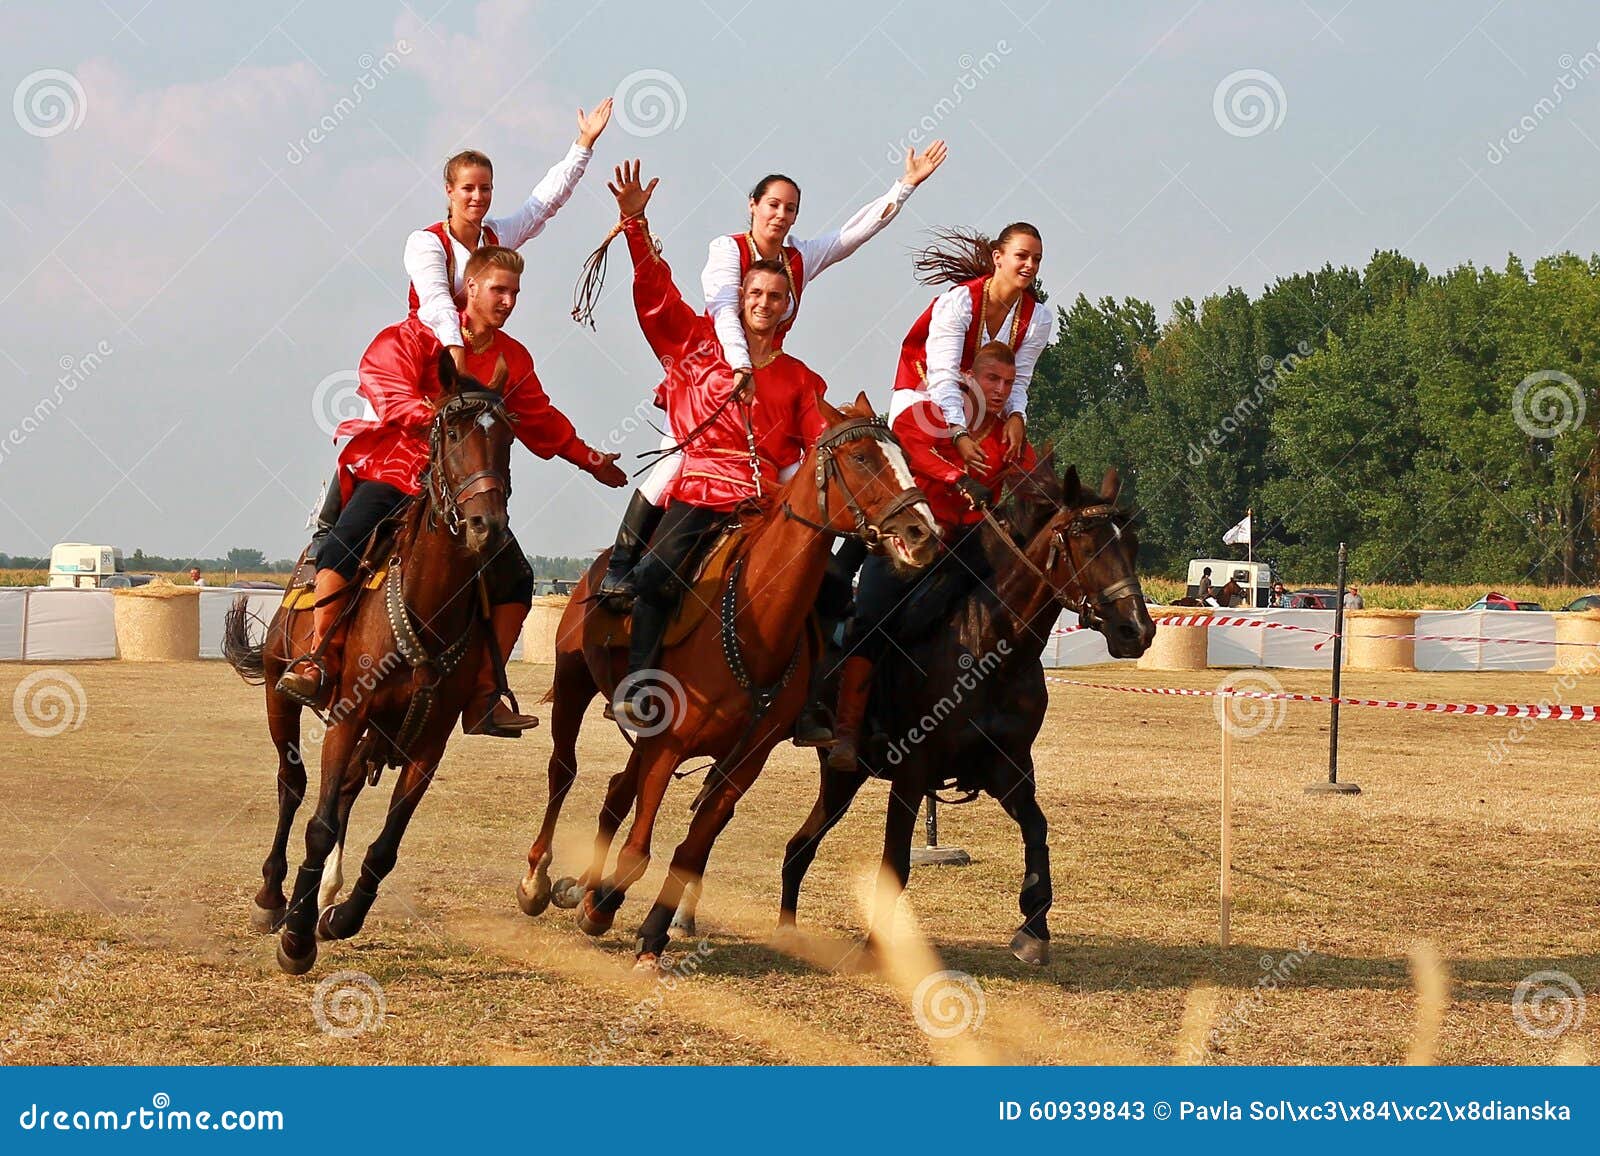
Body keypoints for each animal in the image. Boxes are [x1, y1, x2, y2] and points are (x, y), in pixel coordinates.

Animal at [223, 351, 516, 974]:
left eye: (508, 439)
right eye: (449, 433)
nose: (487, 527)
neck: (426, 606)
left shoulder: (429, 739)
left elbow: (386, 844)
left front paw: (339, 917)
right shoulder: (347, 716)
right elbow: (319, 821)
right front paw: (296, 937)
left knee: (349, 788)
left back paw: (320, 896)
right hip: (282, 696)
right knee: (292, 785)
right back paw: (273, 898)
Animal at [514, 393, 942, 965]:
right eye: (860, 459)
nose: (923, 534)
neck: (752, 622)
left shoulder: (742, 762)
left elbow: (690, 851)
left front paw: (648, 932)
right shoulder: (670, 745)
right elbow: (639, 848)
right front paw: (603, 908)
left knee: (616, 791)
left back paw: (582, 886)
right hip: (574, 682)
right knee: (563, 771)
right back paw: (539, 880)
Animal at [773, 456, 1155, 964]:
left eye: (1131, 544)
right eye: (1085, 545)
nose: (1137, 630)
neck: (991, 650)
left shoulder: (1009, 770)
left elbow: (1037, 831)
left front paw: (1034, 929)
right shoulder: (913, 773)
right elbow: (895, 861)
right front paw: (877, 946)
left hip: (843, 779)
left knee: (799, 847)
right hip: (836, 770)